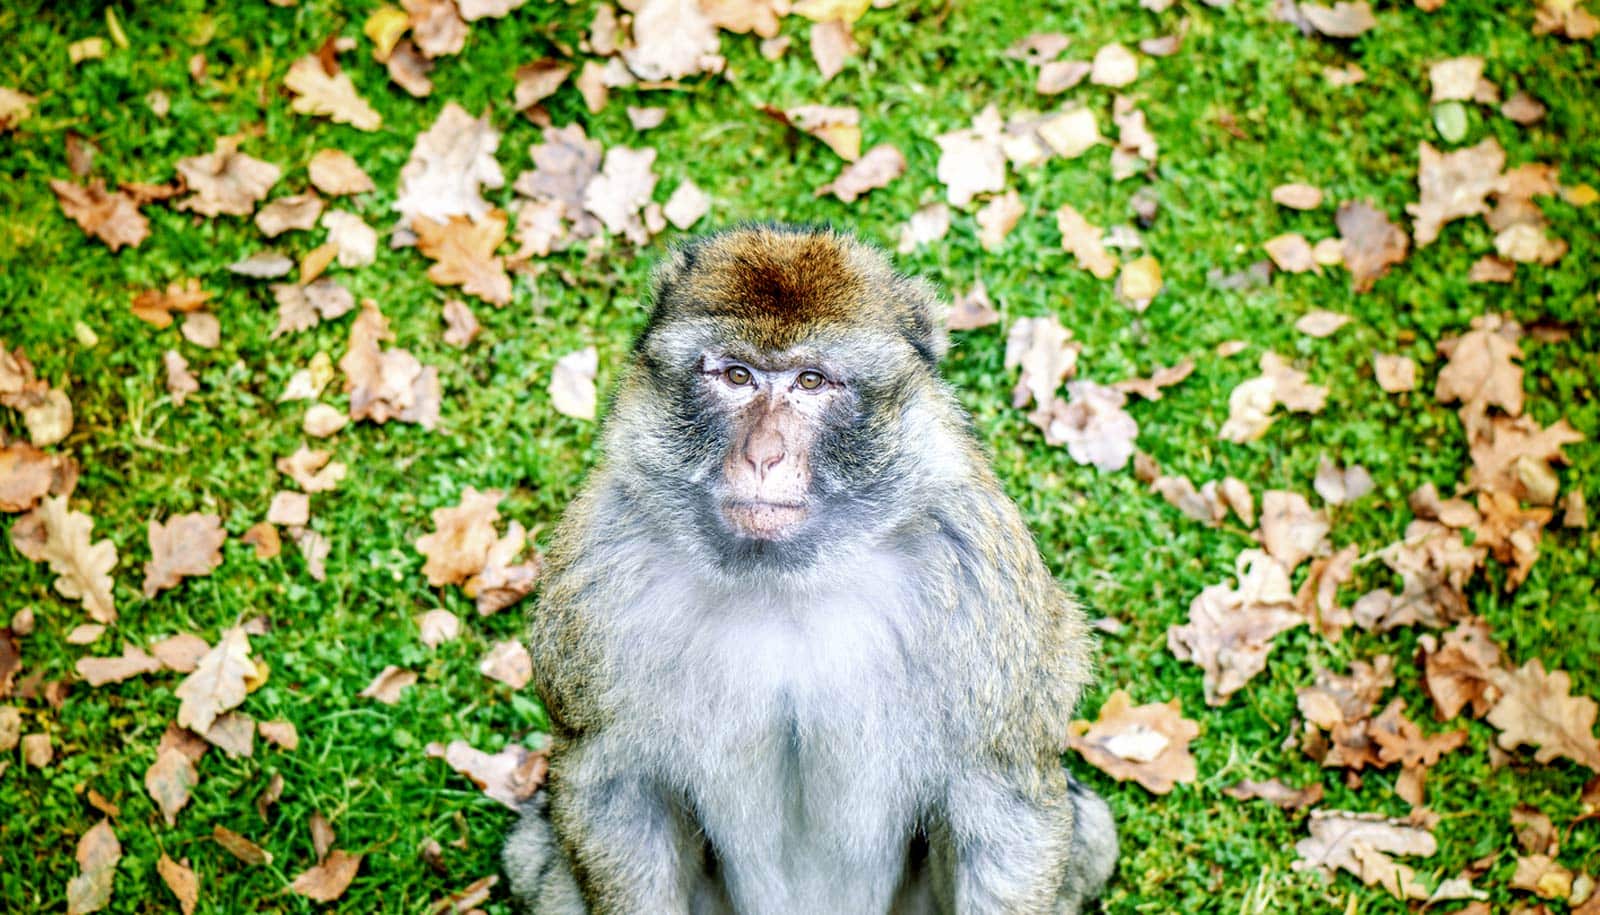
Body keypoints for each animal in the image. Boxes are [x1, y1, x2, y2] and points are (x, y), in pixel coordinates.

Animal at [503, 224, 1117, 914]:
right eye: (737, 376)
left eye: (810, 381)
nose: (763, 455)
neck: (785, 580)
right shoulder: (597, 576)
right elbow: (615, 787)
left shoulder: (983, 584)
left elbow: (1002, 802)